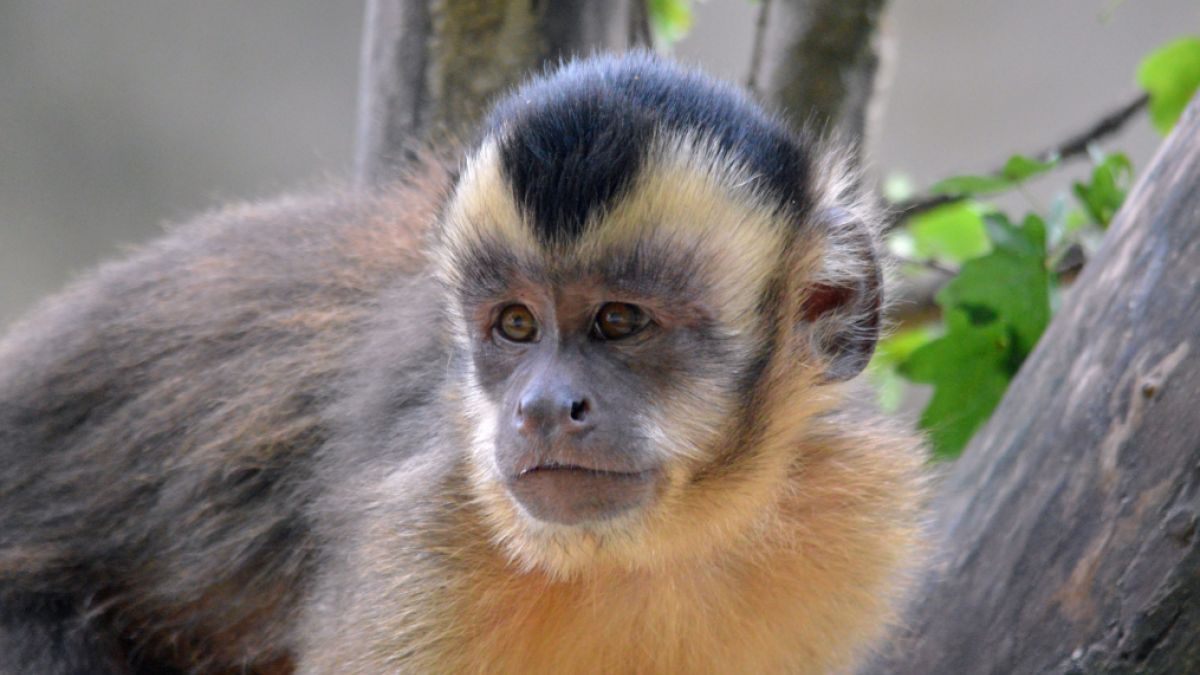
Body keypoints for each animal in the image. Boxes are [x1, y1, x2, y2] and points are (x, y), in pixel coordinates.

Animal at [0, 52, 926, 674]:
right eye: (515, 324)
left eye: (619, 321)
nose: (544, 406)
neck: (647, 550)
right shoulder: (424, 538)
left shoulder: (843, 517)